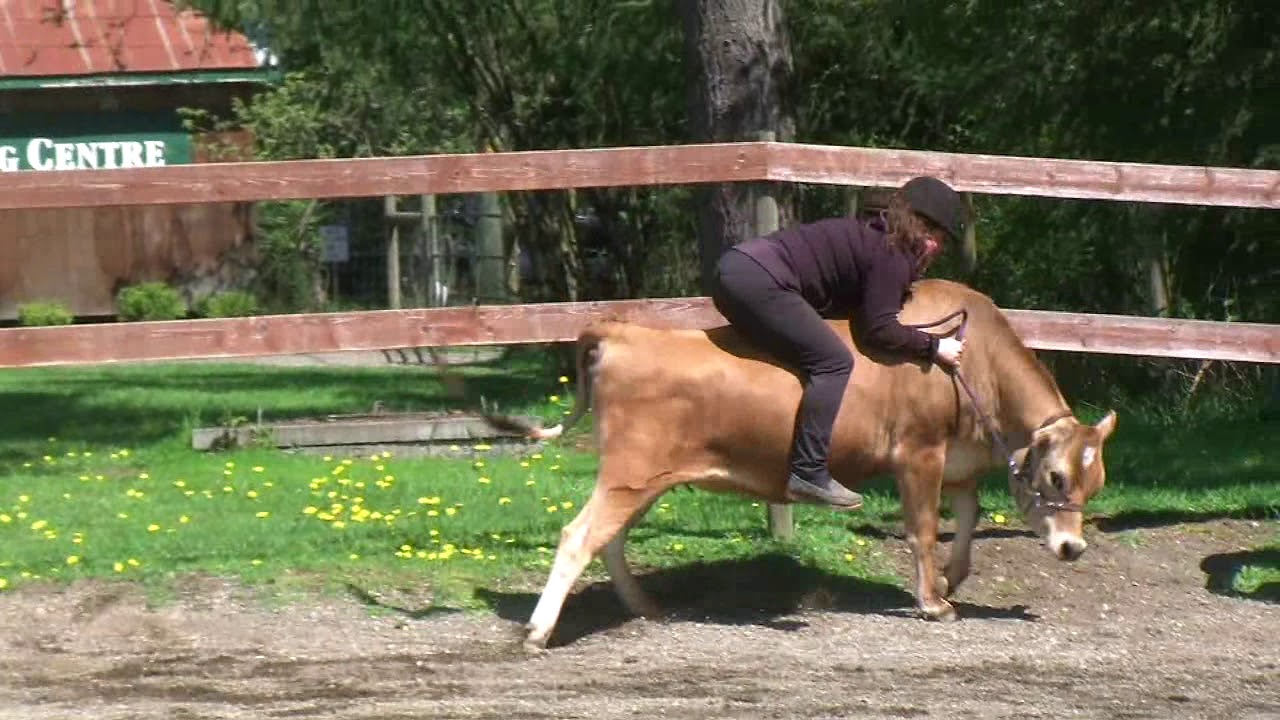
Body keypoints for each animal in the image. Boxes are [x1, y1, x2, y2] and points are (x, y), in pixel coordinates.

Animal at [496, 278, 1117, 652]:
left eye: (1096, 483)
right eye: (1058, 476)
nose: (1073, 547)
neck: (972, 362)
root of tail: (622, 330)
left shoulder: (959, 461)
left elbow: (968, 518)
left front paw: (949, 580)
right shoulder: (918, 453)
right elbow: (922, 529)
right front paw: (932, 603)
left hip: (644, 479)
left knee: (611, 540)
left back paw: (646, 606)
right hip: (630, 471)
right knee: (579, 535)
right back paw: (539, 631)